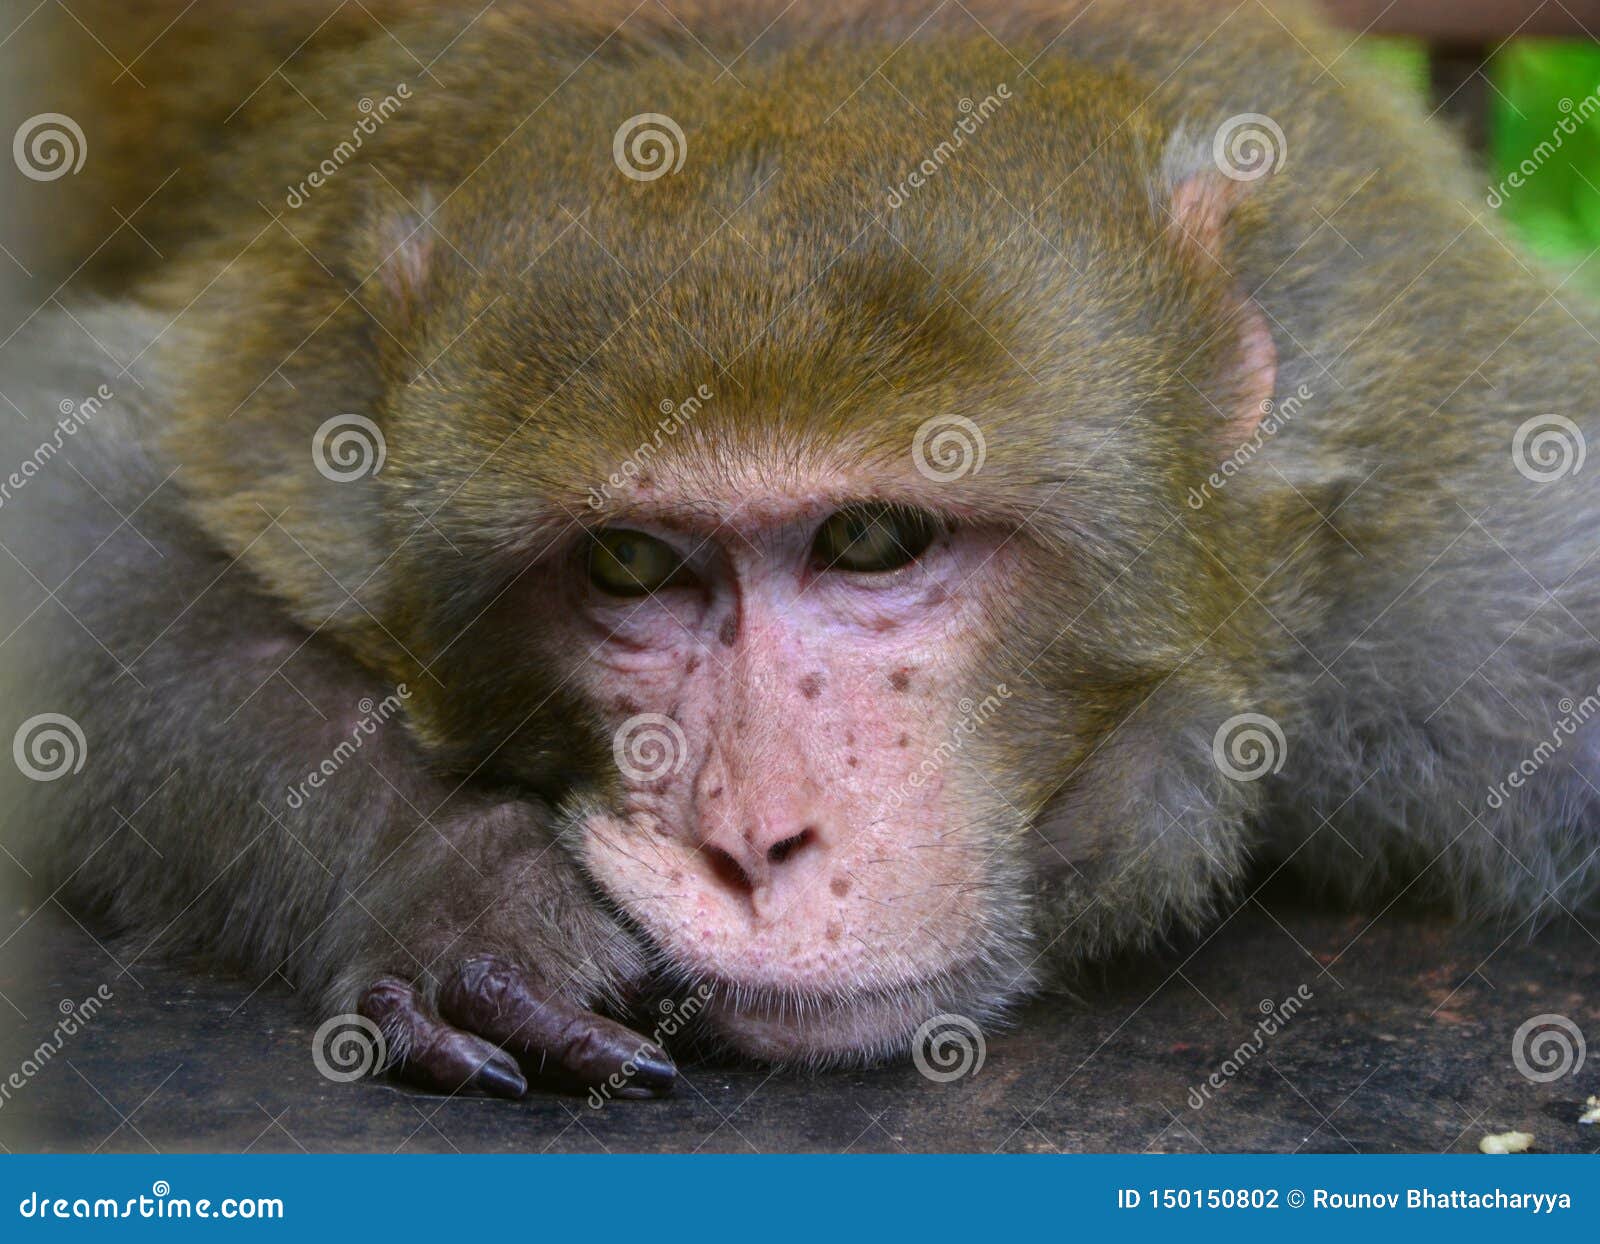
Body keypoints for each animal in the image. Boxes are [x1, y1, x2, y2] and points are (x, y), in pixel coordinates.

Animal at [1, 0, 1596, 1103]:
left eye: (871, 539)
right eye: (630, 564)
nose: (754, 839)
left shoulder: (1462, 568)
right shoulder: (311, 430)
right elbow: (70, 505)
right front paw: (457, 883)